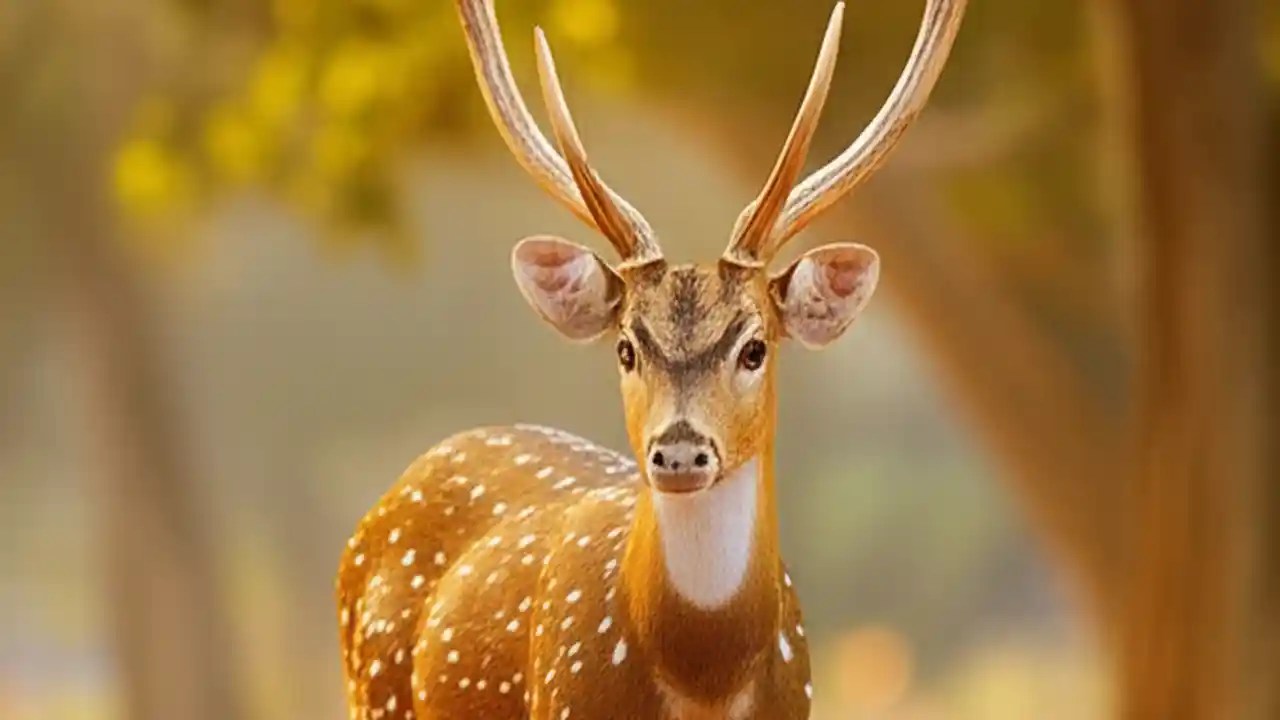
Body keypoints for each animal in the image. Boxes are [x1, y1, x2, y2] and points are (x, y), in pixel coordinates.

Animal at [336, 0, 965, 717]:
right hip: (373, 688)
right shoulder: (562, 700)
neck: (704, 680)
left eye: (754, 347)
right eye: (625, 347)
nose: (680, 452)